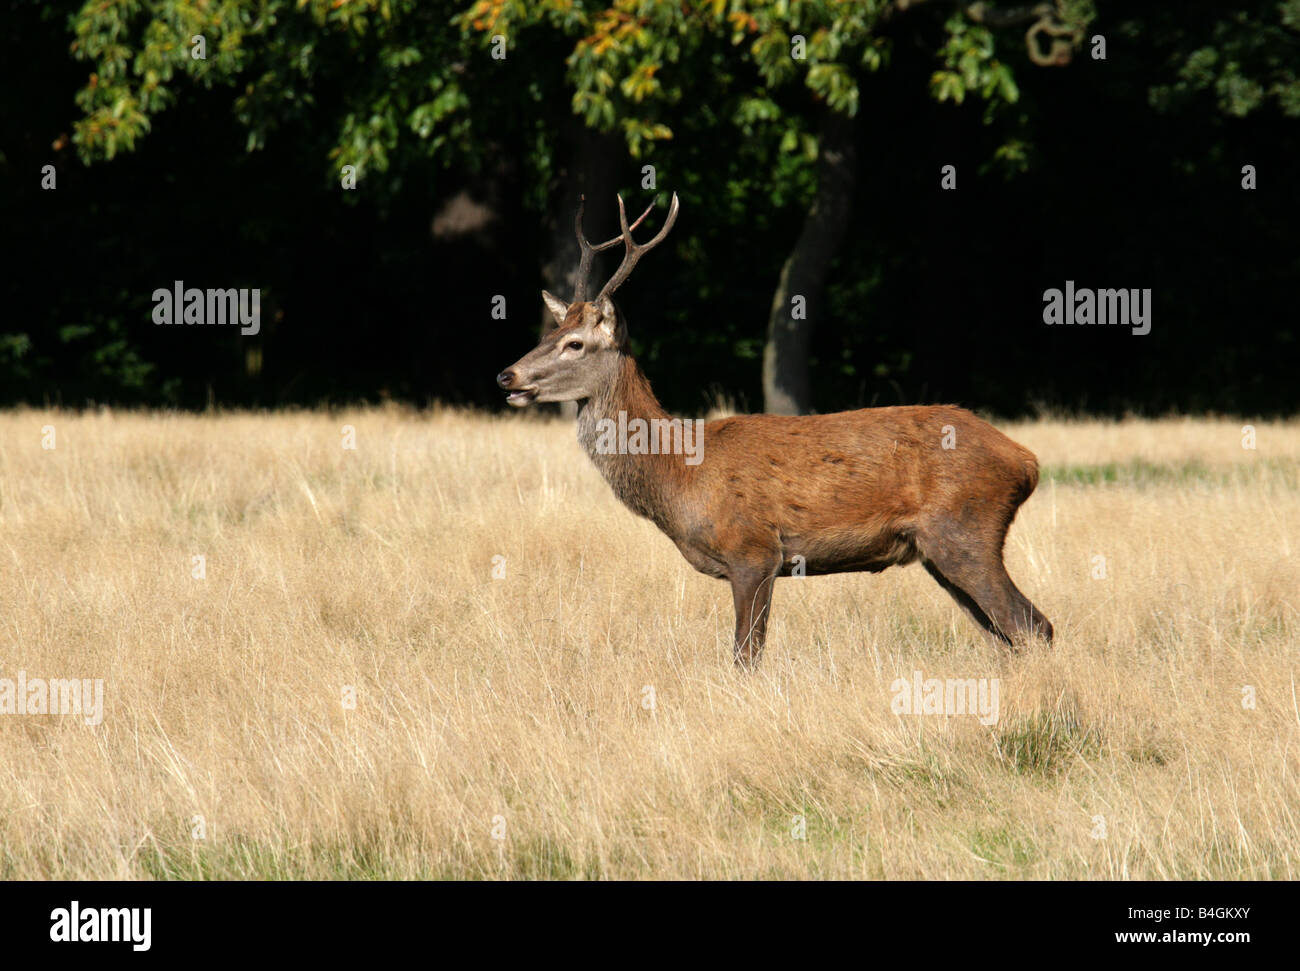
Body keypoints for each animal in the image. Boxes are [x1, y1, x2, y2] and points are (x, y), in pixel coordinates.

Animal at [497, 193, 1053, 669]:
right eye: (551, 331)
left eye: (574, 343)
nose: (508, 376)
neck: (679, 473)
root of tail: (1027, 462)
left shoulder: (754, 551)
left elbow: (746, 656)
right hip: (937, 552)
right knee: (1005, 638)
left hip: (966, 531)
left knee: (1033, 626)